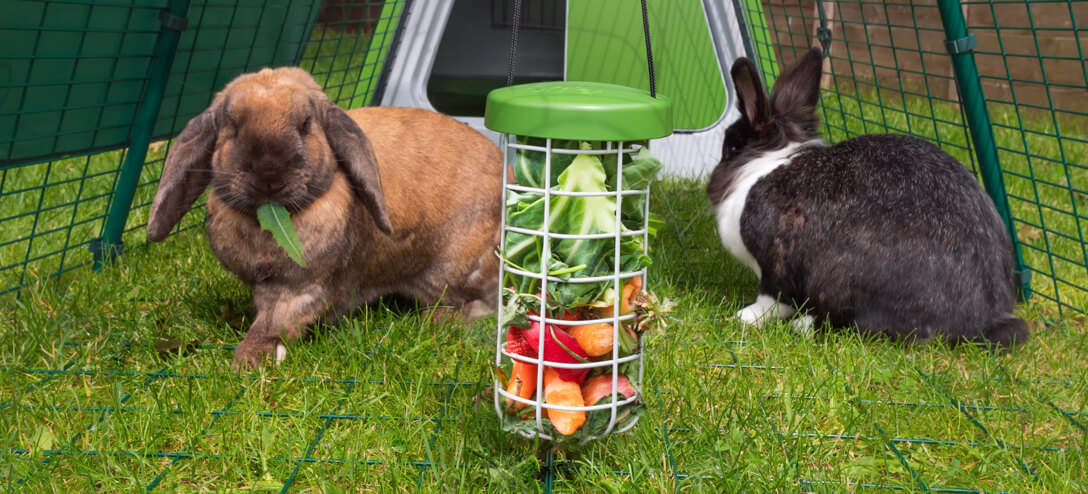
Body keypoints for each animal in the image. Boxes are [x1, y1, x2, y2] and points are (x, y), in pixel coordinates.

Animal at [148, 67, 503, 369]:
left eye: (305, 124)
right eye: (232, 126)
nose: (268, 175)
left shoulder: (302, 287)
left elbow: (276, 321)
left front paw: (251, 360)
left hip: (455, 270)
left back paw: (439, 320)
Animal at [706, 48, 1028, 347]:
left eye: (730, 148)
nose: (711, 185)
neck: (770, 160)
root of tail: (984, 321)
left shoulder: (774, 267)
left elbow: (772, 300)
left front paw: (743, 317)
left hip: (839, 281)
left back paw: (803, 325)